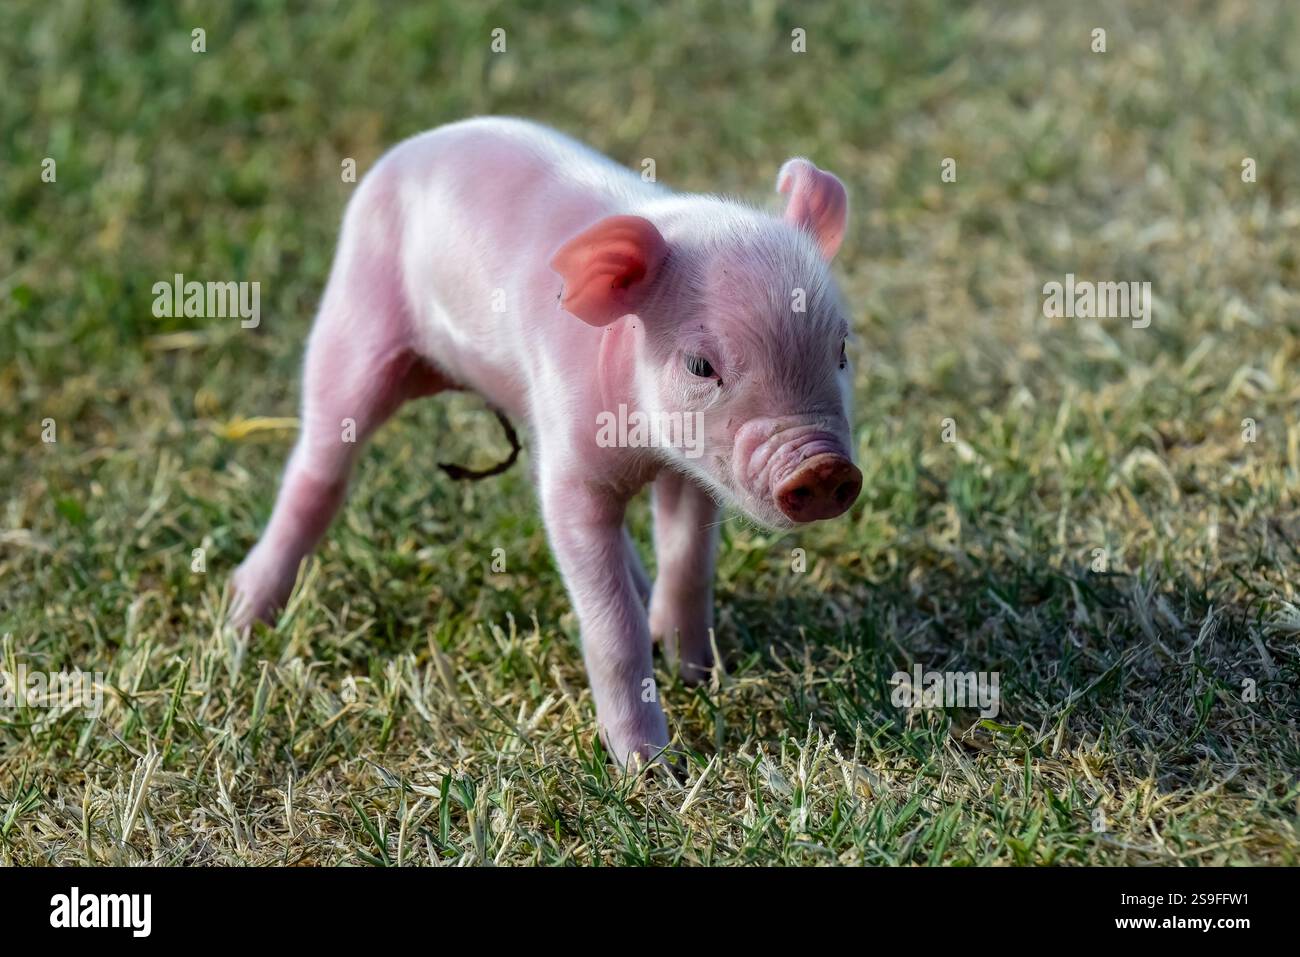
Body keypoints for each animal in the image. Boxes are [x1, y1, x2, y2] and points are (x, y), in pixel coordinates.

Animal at [229, 117, 860, 766]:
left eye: (841, 349)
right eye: (700, 365)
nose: (822, 467)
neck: (642, 447)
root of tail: (421, 141)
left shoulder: (692, 469)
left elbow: (688, 565)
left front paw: (699, 676)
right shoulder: (572, 468)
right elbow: (612, 624)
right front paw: (648, 768)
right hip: (355, 317)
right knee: (318, 464)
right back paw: (242, 621)